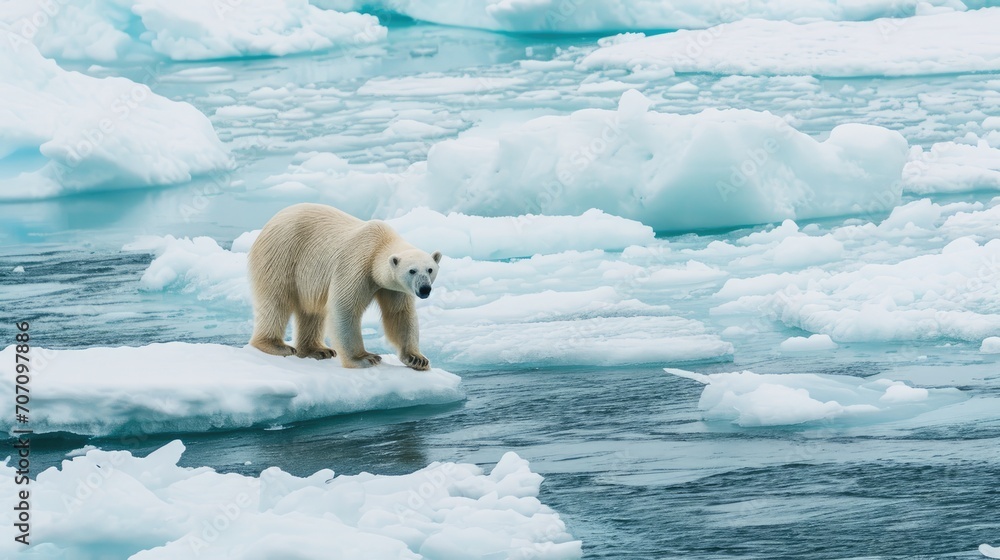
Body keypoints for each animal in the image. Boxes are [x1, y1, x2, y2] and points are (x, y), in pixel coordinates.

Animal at [247, 203, 441, 371]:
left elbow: (399, 313)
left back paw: (318, 349)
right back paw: (275, 345)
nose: (425, 289)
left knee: (311, 310)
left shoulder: (393, 287)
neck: (379, 245)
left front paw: (417, 359)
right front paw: (364, 358)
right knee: (276, 300)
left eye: (430, 269)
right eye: (412, 271)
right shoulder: (356, 264)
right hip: (282, 254)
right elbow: (345, 308)